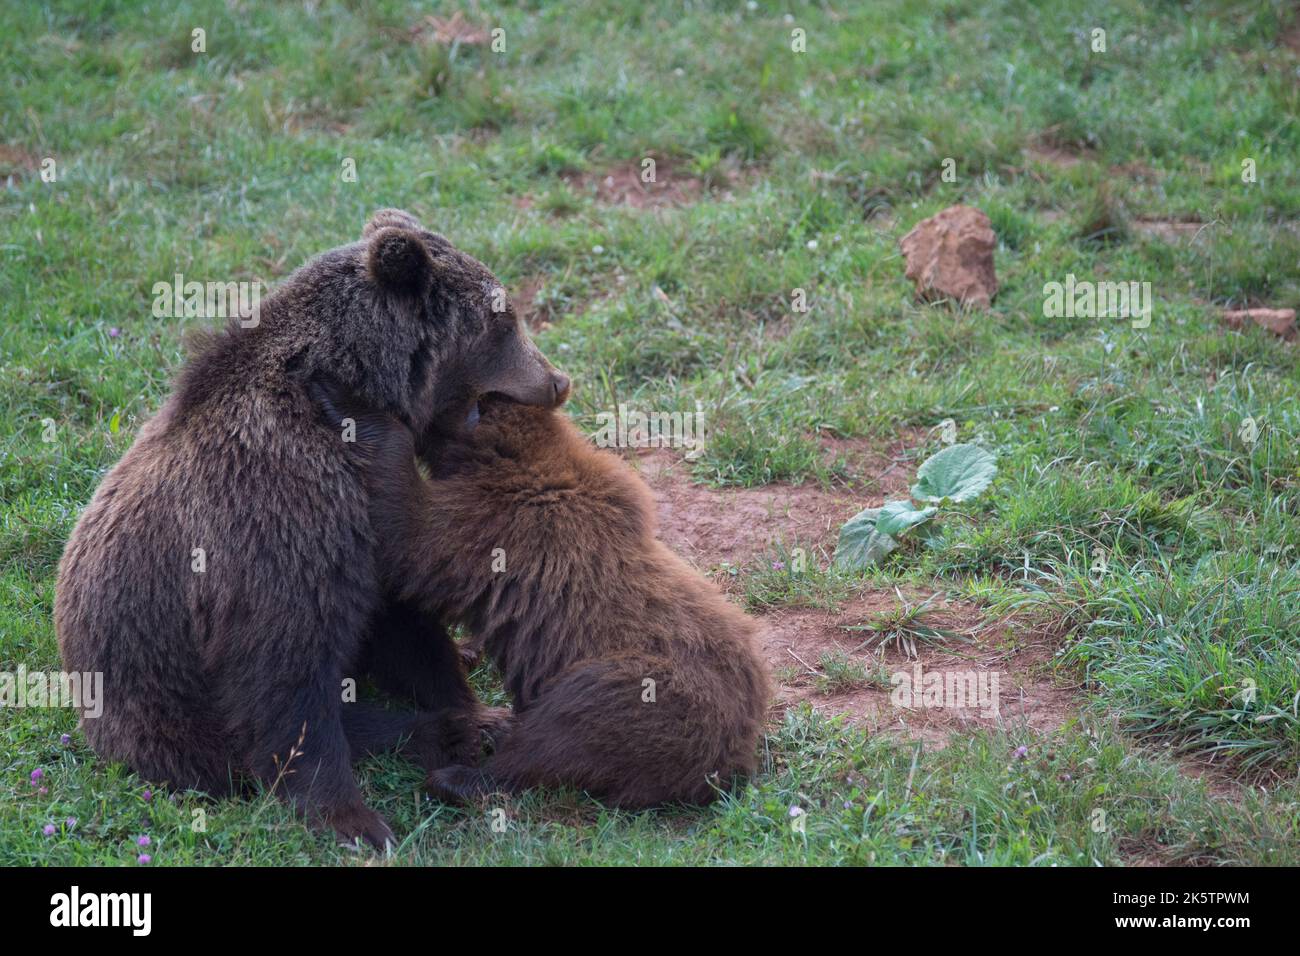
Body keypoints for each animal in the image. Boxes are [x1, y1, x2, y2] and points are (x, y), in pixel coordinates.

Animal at [55, 209, 569, 849]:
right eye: (504, 322)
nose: (558, 380)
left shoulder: (363, 521)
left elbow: (401, 623)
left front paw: (469, 702)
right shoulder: (280, 517)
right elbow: (288, 673)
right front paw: (355, 821)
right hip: (169, 710)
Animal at [310, 383, 773, 808]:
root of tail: (735, 755)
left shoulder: (493, 523)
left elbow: (411, 531)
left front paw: (349, 408)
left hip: (646, 690)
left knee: (566, 729)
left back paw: (459, 776)